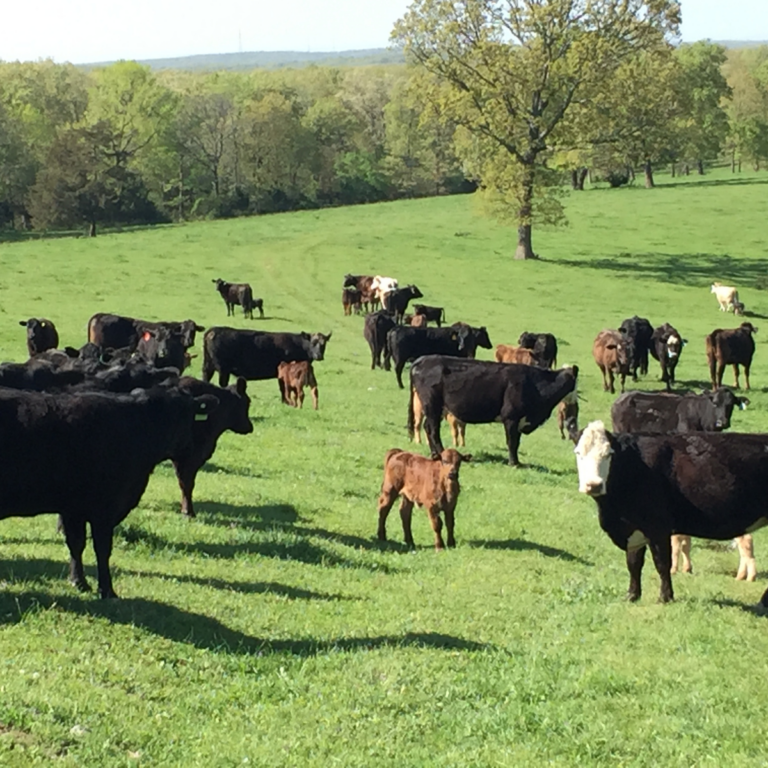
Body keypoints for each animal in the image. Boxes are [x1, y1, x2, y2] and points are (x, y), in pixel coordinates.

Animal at [0, 385, 218, 598]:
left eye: (184, 413)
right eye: (177, 415)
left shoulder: (74, 508)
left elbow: (76, 544)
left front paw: (78, 582)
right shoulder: (103, 508)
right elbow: (102, 548)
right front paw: (107, 590)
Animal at [202, 327, 332, 388]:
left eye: (324, 344)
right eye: (313, 343)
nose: (319, 356)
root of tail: (213, 331)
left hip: (208, 365)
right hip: (223, 369)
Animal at [409, 355, 578, 466]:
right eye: (574, 384)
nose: (575, 401)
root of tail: (422, 360)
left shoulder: (519, 421)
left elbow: (517, 442)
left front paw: (517, 461)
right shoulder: (510, 417)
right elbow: (512, 442)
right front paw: (513, 463)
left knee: (427, 427)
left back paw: (435, 454)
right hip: (432, 405)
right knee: (432, 430)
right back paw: (441, 453)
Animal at [574, 420, 768, 605]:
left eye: (609, 454)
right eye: (578, 453)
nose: (593, 485)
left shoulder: (658, 528)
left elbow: (662, 563)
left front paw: (665, 597)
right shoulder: (635, 529)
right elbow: (634, 563)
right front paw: (632, 595)